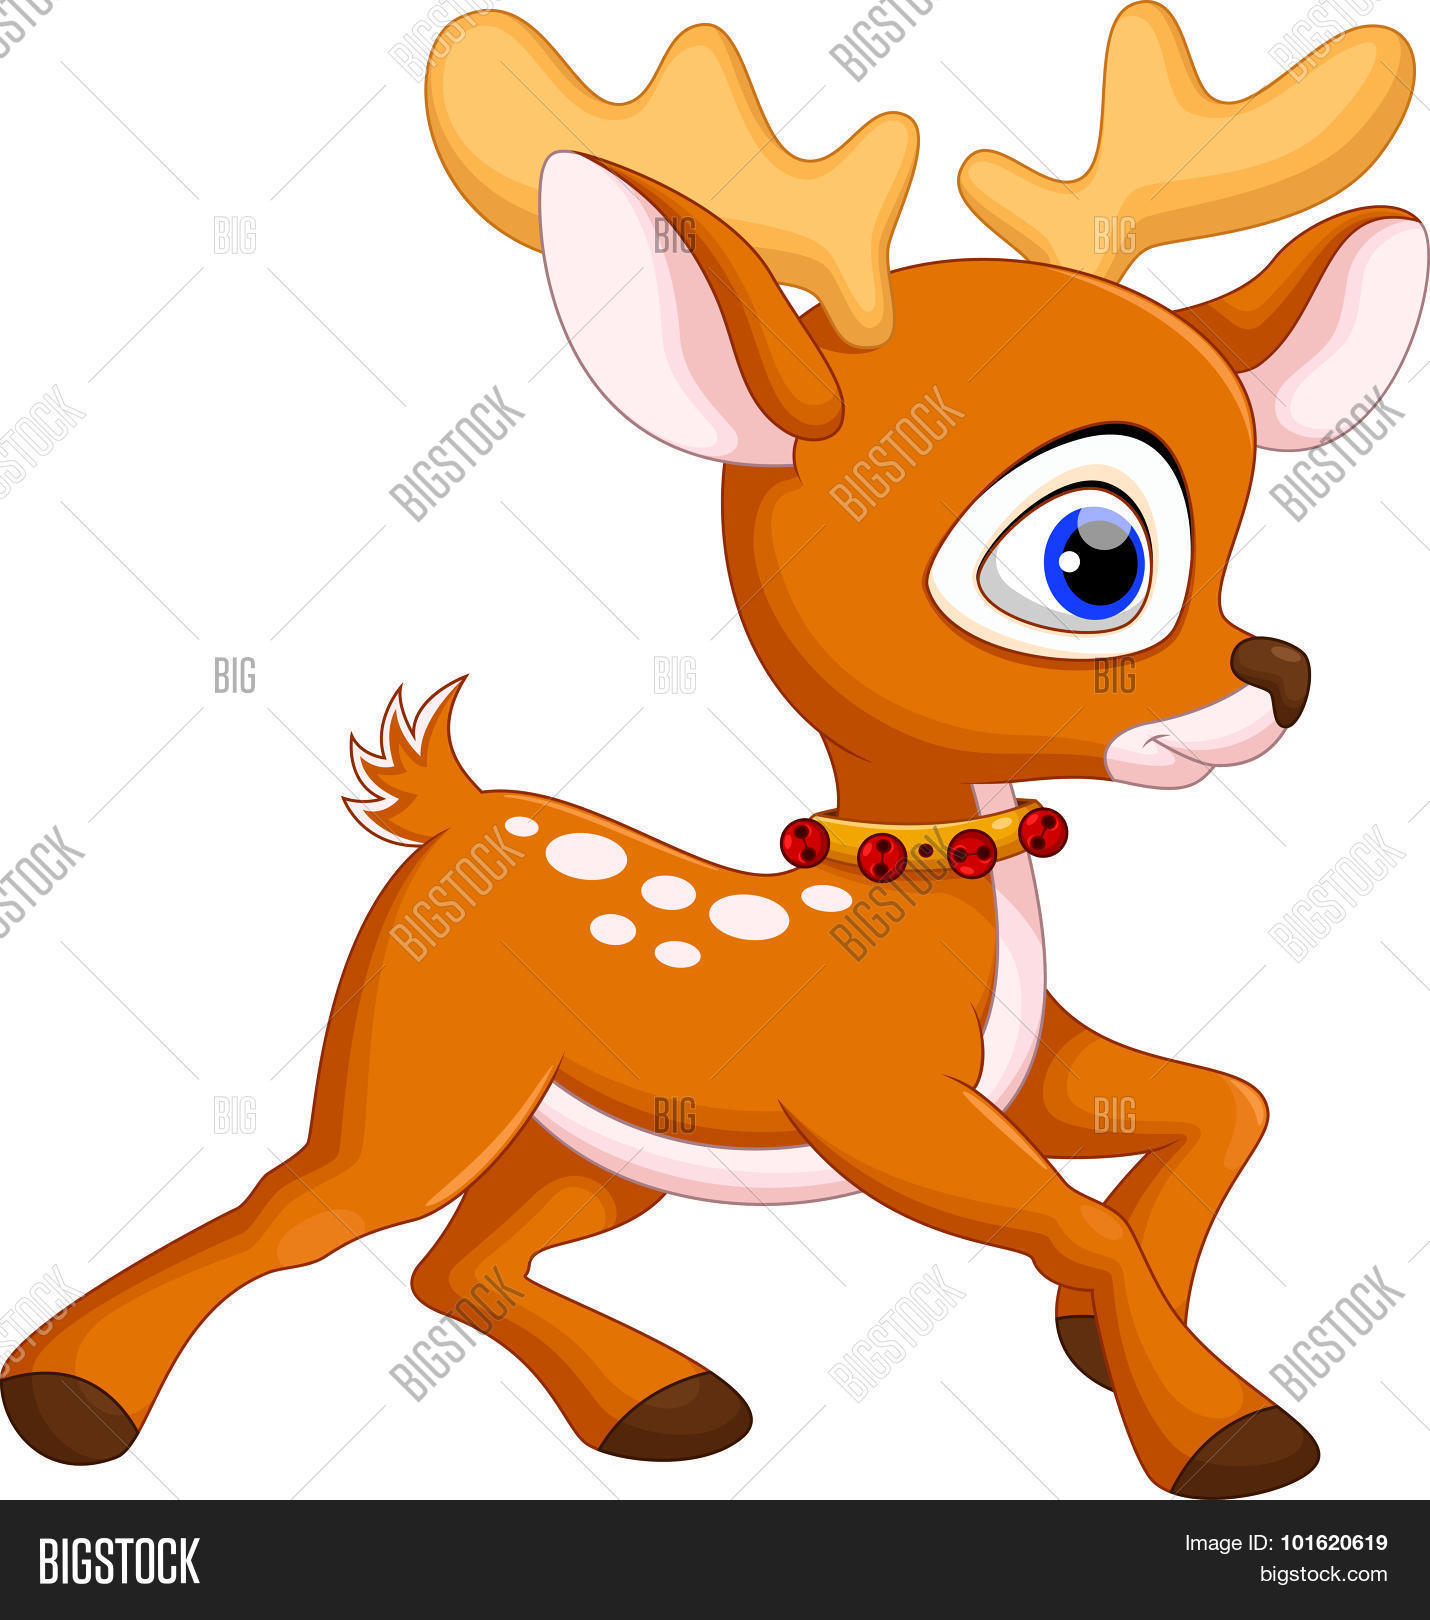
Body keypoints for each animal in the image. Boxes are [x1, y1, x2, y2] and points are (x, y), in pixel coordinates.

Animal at [4, 4, 1424, 1499]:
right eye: (1093, 559)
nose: (1279, 673)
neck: (908, 893)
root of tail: (463, 814)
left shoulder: (1031, 1076)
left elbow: (1230, 1104)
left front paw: (1103, 1339)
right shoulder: (879, 1107)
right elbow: (1077, 1218)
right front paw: (1218, 1425)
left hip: (596, 1147)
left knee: (454, 1263)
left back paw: (657, 1401)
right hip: (426, 1076)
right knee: (302, 1210)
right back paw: (71, 1393)